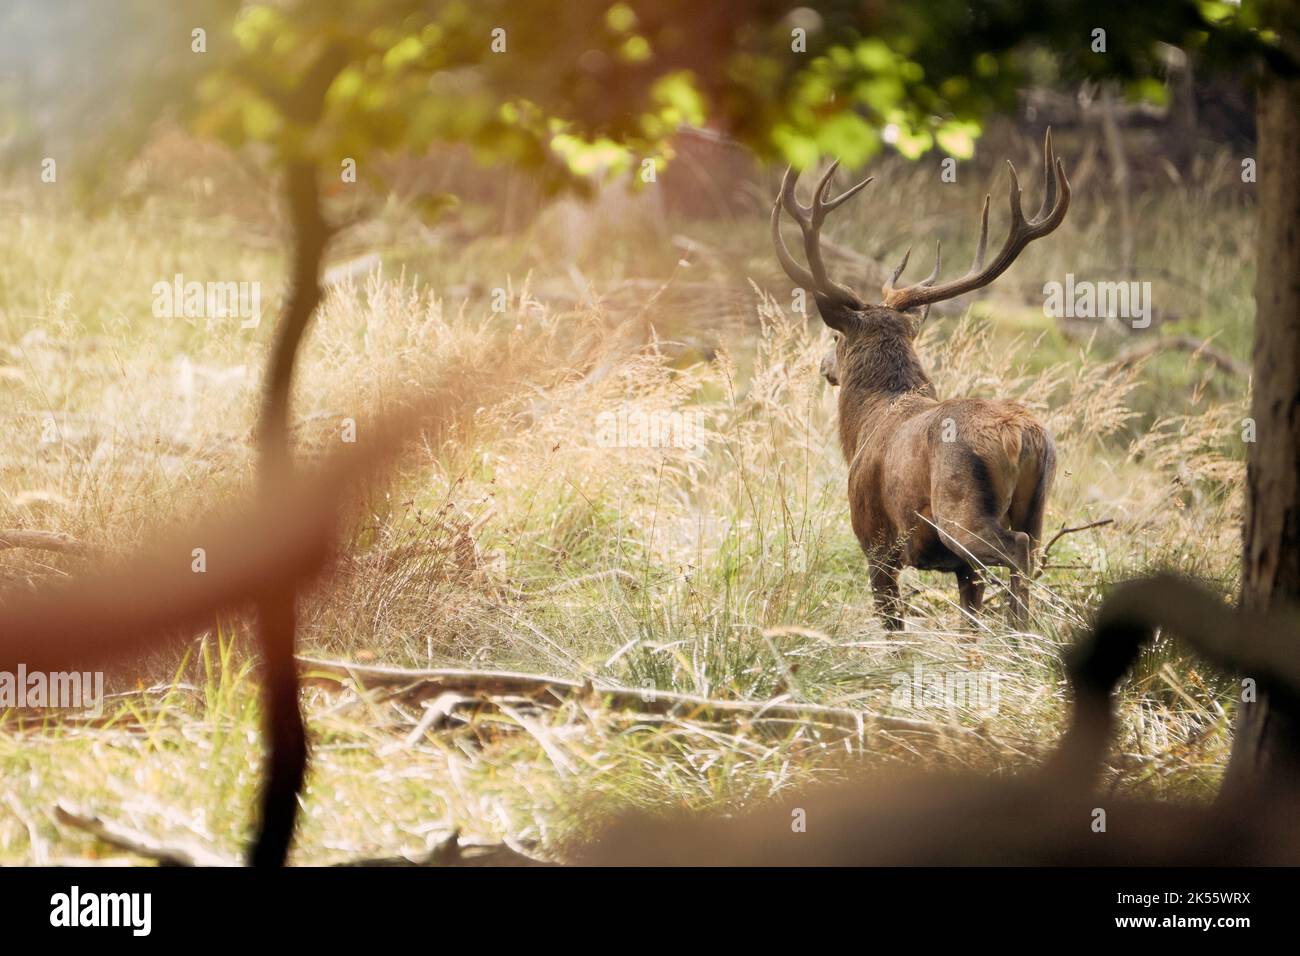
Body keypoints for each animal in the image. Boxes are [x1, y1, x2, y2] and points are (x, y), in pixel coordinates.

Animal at [772, 129, 1070, 629]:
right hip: (1037, 504)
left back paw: (1016, 631)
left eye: (835, 335)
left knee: (1019, 551)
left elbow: (893, 626)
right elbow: (968, 626)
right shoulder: (962, 570)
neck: (866, 425)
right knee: (1032, 548)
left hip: (960, 511)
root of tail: (1023, 436)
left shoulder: (875, 541)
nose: (823, 366)